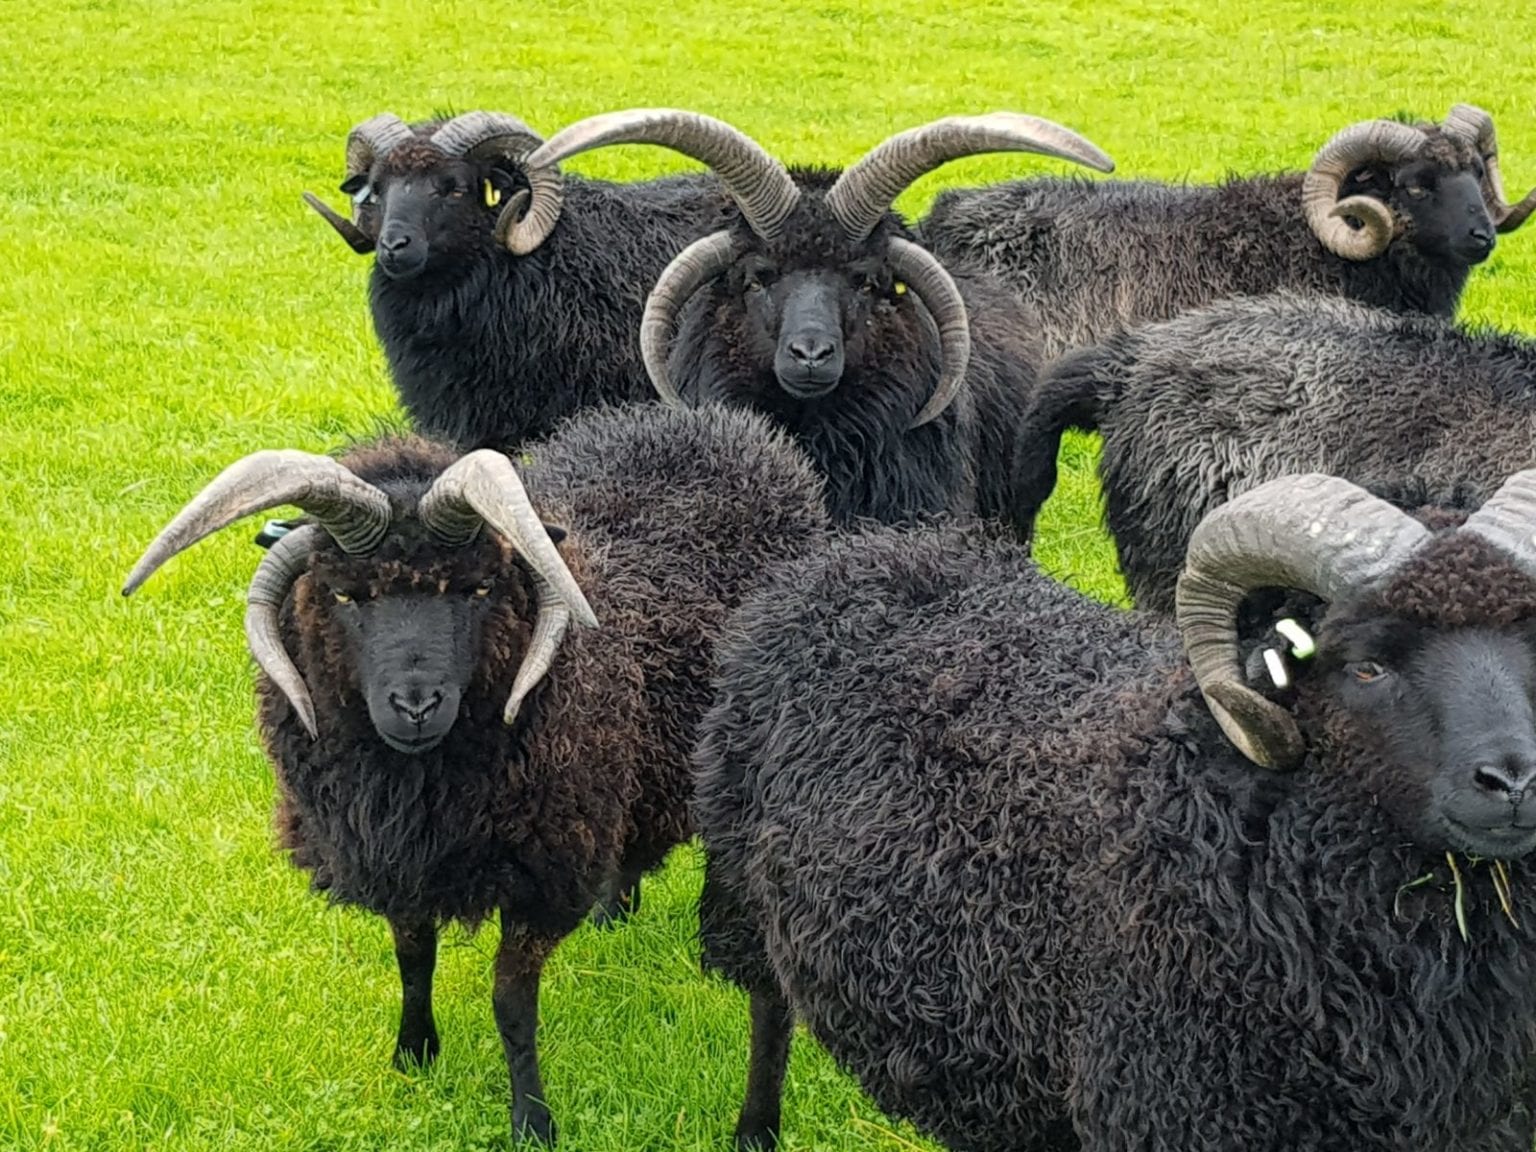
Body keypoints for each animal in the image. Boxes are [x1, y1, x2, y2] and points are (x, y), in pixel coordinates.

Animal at [122, 403, 828, 1145]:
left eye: (477, 587)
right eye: (345, 596)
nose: (415, 704)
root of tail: (716, 423)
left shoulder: (543, 871)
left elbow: (511, 1004)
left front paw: (532, 1120)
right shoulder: (398, 857)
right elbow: (412, 958)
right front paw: (413, 1052)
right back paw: (616, 910)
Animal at [694, 471, 1536, 1151]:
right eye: (1364, 665)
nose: (1516, 780)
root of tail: (859, 557)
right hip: (742, 890)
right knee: (768, 1013)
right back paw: (755, 1132)